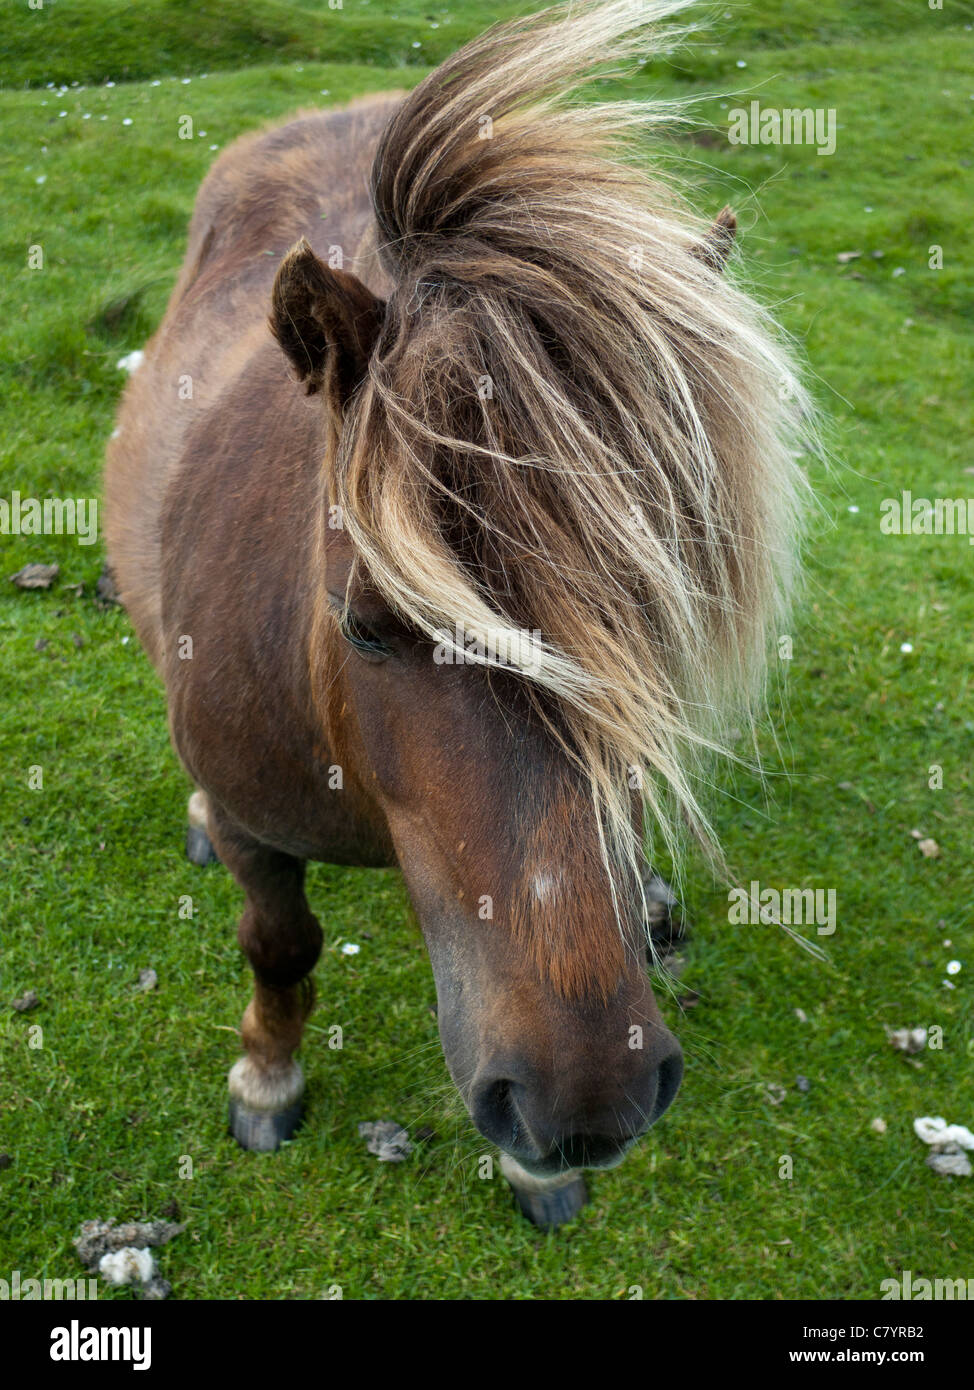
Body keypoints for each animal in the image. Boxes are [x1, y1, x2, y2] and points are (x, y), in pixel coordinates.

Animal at [104, 0, 808, 1229]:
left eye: (659, 628)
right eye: (366, 625)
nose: (589, 1103)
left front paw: (538, 1168)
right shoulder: (258, 829)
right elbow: (280, 944)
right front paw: (267, 1075)